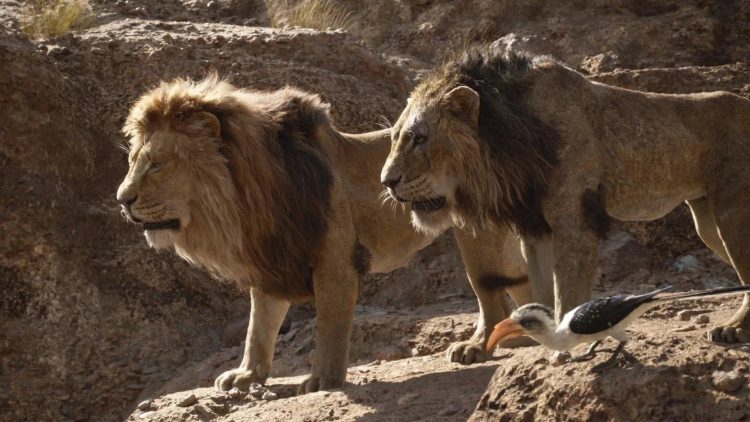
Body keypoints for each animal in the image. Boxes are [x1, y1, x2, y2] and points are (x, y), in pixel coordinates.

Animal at [115, 76, 534, 393]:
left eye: (157, 164)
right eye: (133, 160)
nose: (122, 199)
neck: (246, 198)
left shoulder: (334, 261)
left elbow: (329, 324)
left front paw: (321, 380)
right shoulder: (273, 258)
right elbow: (259, 325)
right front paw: (247, 375)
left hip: (476, 236)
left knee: (492, 294)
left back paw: (478, 346)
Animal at [381, 44, 750, 345]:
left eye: (420, 138)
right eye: (395, 137)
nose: (387, 181)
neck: (507, 137)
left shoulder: (574, 219)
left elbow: (567, 291)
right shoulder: (535, 229)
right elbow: (543, 288)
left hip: (733, 212)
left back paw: (734, 328)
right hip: (707, 221)